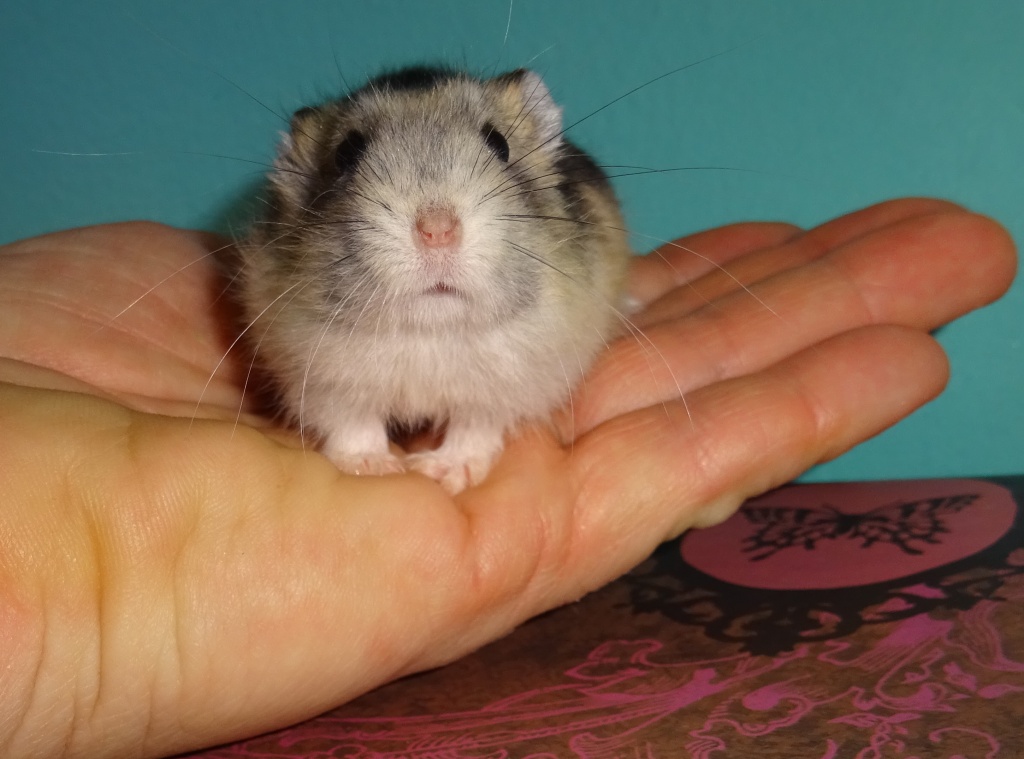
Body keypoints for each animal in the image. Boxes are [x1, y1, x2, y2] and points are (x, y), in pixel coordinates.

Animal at [235, 66, 631, 494]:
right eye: (346, 154)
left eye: (499, 143)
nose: (437, 231)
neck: (431, 331)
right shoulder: (325, 382)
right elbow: (354, 426)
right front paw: (373, 467)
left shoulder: (503, 388)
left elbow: (473, 431)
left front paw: (440, 472)